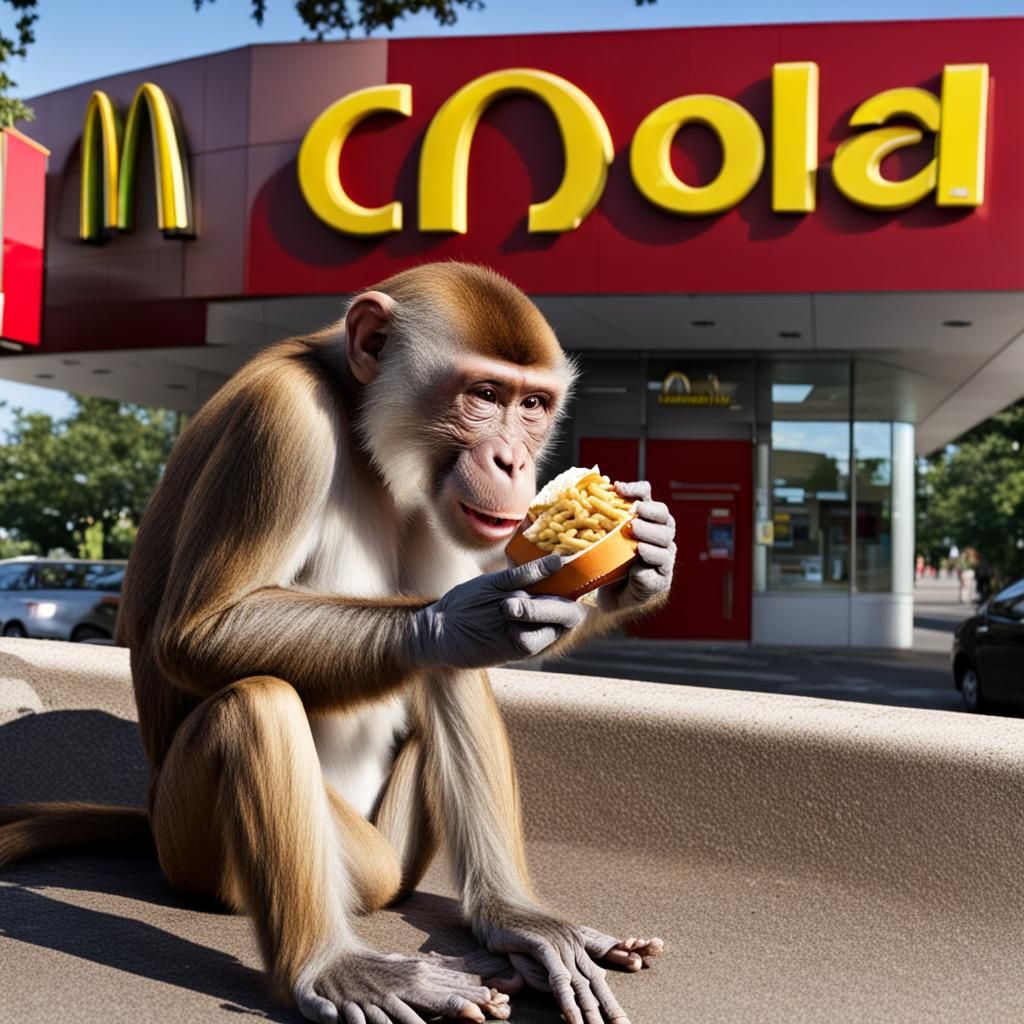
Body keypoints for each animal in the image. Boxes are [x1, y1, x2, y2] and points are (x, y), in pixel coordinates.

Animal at [0, 262, 676, 1024]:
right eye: (483, 395)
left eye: (532, 404)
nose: (512, 460)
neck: (360, 426)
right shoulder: (280, 422)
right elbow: (198, 633)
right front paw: (465, 620)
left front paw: (644, 565)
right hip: (212, 847)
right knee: (256, 703)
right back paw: (329, 966)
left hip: (390, 840)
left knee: (445, 677)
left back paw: (512, 920)